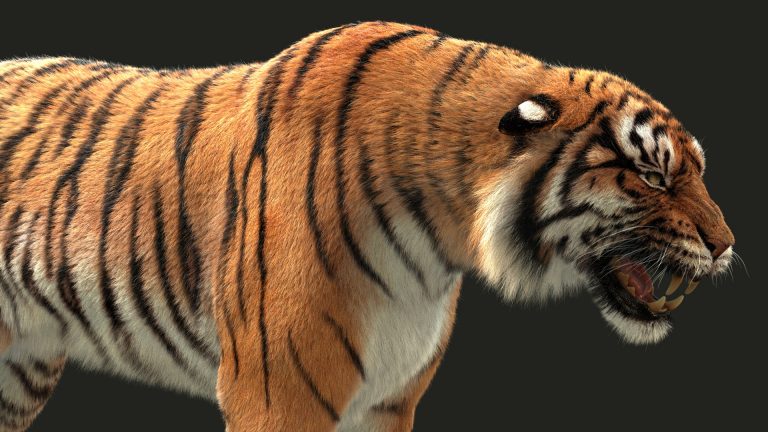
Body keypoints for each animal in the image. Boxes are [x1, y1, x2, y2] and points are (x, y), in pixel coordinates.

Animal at [0, 21, 734, 431]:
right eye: (652, 175)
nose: (727, 246)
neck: (438, 240)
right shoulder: (275, 396)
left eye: (697, 170)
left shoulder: (388, 400)